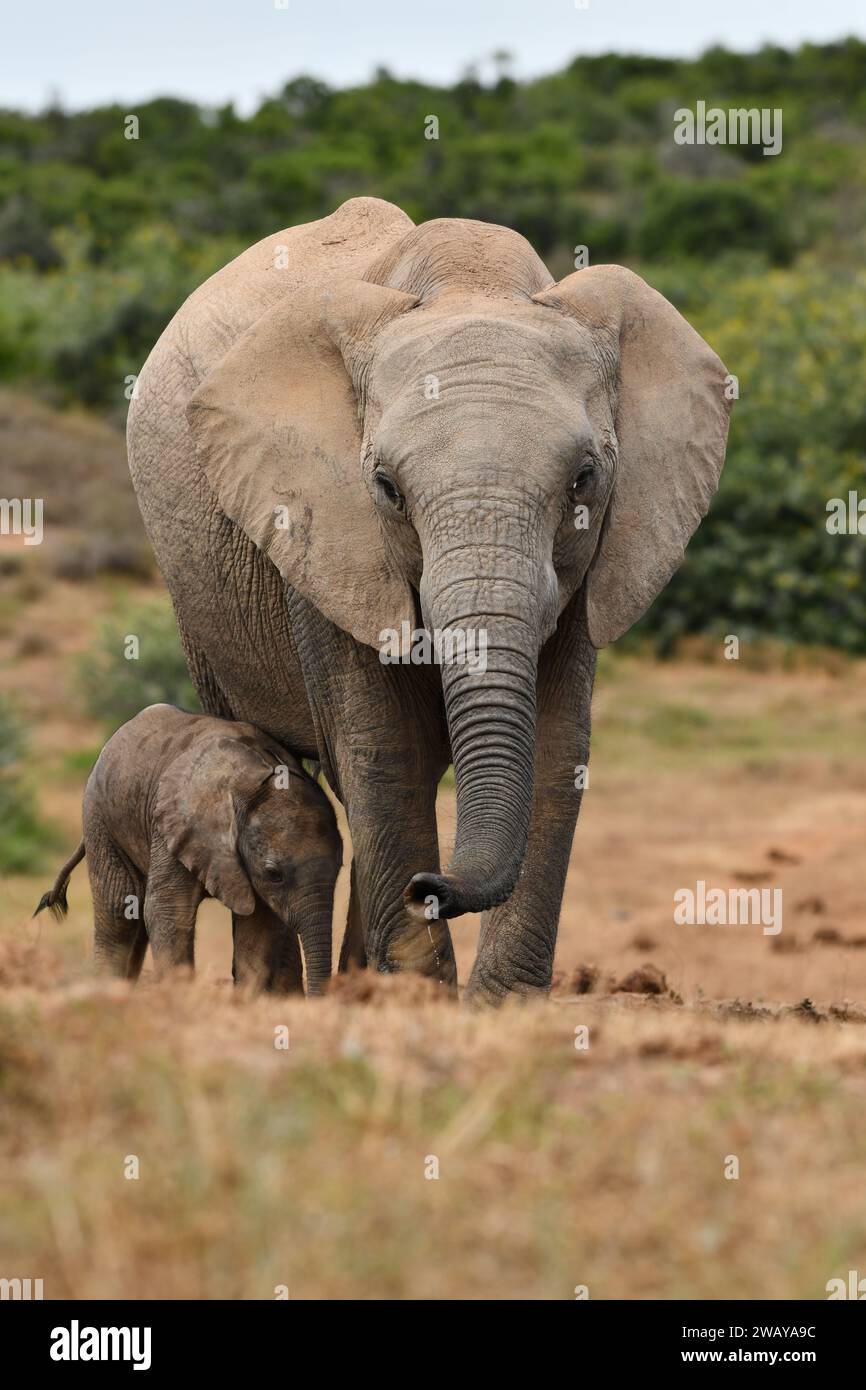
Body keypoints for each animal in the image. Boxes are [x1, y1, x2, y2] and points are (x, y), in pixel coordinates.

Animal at [34, 704, 342, 993]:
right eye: (274, 874)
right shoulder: (176, 825)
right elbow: (168, 910)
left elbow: (259, 925)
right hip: (100, 815)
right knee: (119, 909)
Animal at [126, 197, 732, 1003]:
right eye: (387, 488)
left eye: (585, 478)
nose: (428, 886)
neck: (471, 280)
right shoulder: (322, 534)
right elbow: (384, 752)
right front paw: (415, 993)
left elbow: (557, 746)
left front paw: (498, 1006)